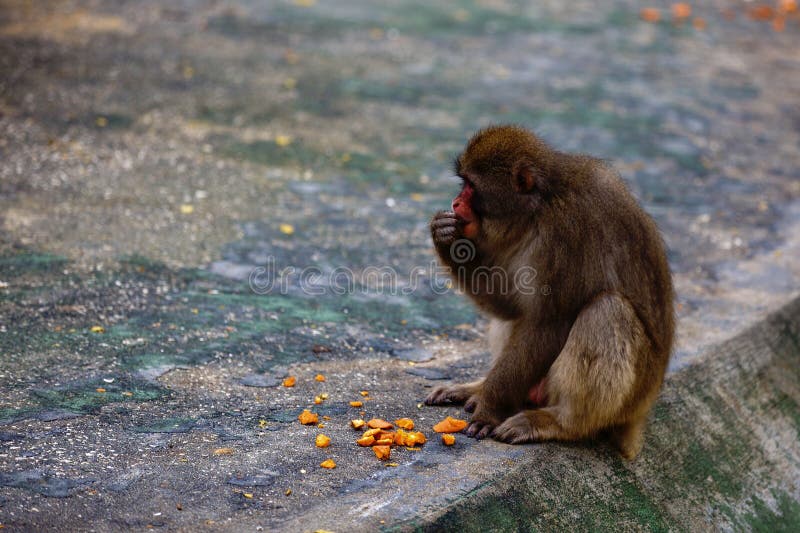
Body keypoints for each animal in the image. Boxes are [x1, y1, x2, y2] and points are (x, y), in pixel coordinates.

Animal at [425, 125, 674, 459]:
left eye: (471, 186)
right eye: (462, 183)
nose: (455, 202)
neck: (538, 208)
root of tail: (639, 416)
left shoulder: (567, 231)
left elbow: (548, 322)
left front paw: (489, 409)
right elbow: (512, 308)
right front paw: (445, 237)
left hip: (631, 398)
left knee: (606, 309)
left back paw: (561, 422)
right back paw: (477, 388)